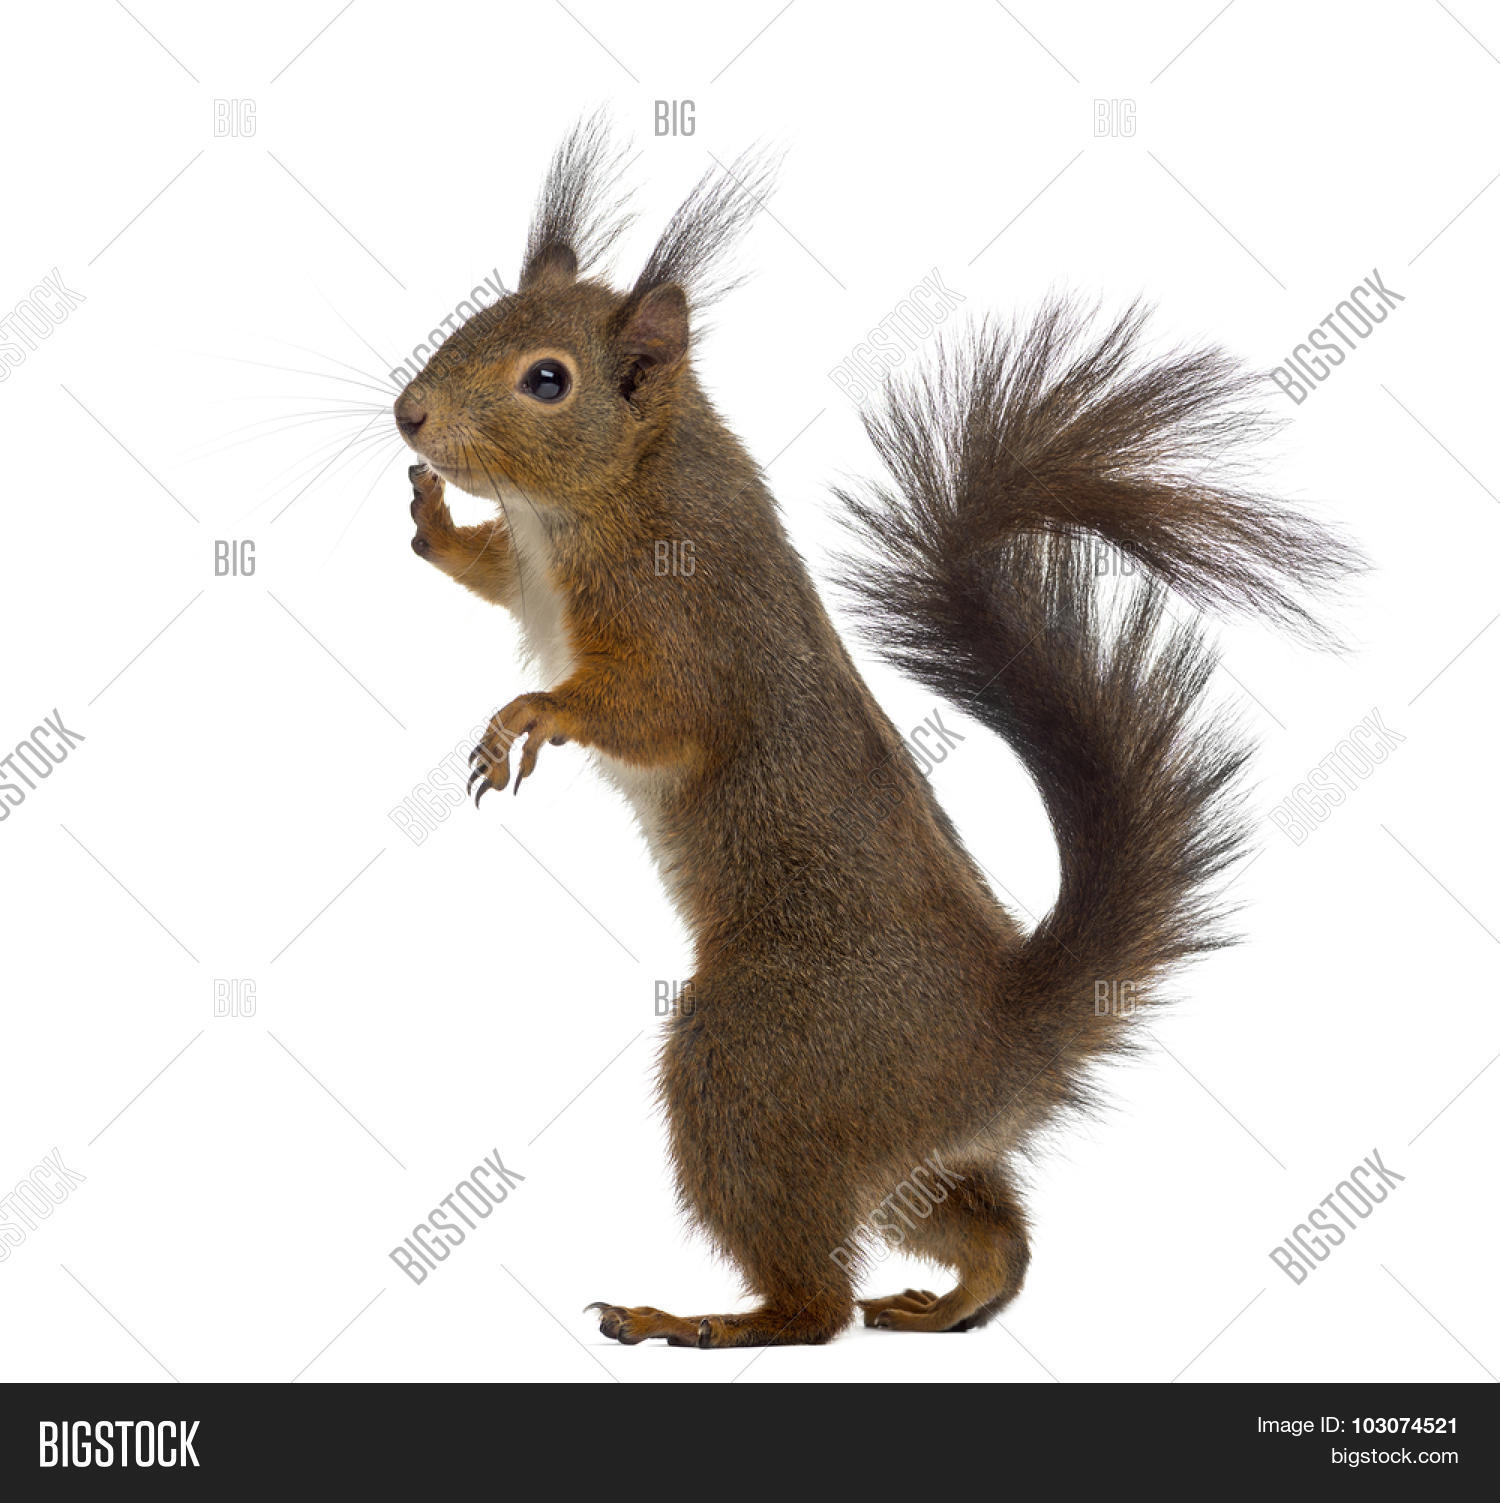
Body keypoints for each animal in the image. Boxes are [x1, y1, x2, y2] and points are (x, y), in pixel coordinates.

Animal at [393, 119, 1356, 1348]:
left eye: (547, 381)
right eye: (475, 319)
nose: (408, 414)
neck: (600, 497)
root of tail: (1004, 1039)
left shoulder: (692, 622)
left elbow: (656, 711)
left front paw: (527, 718)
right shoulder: (529, 578)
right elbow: (485, 575)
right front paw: (431, 519)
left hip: (762, 1064)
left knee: (817, 1305)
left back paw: (706, 1322)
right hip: (900, 1155)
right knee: (990, 1229)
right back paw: (951, 1301)